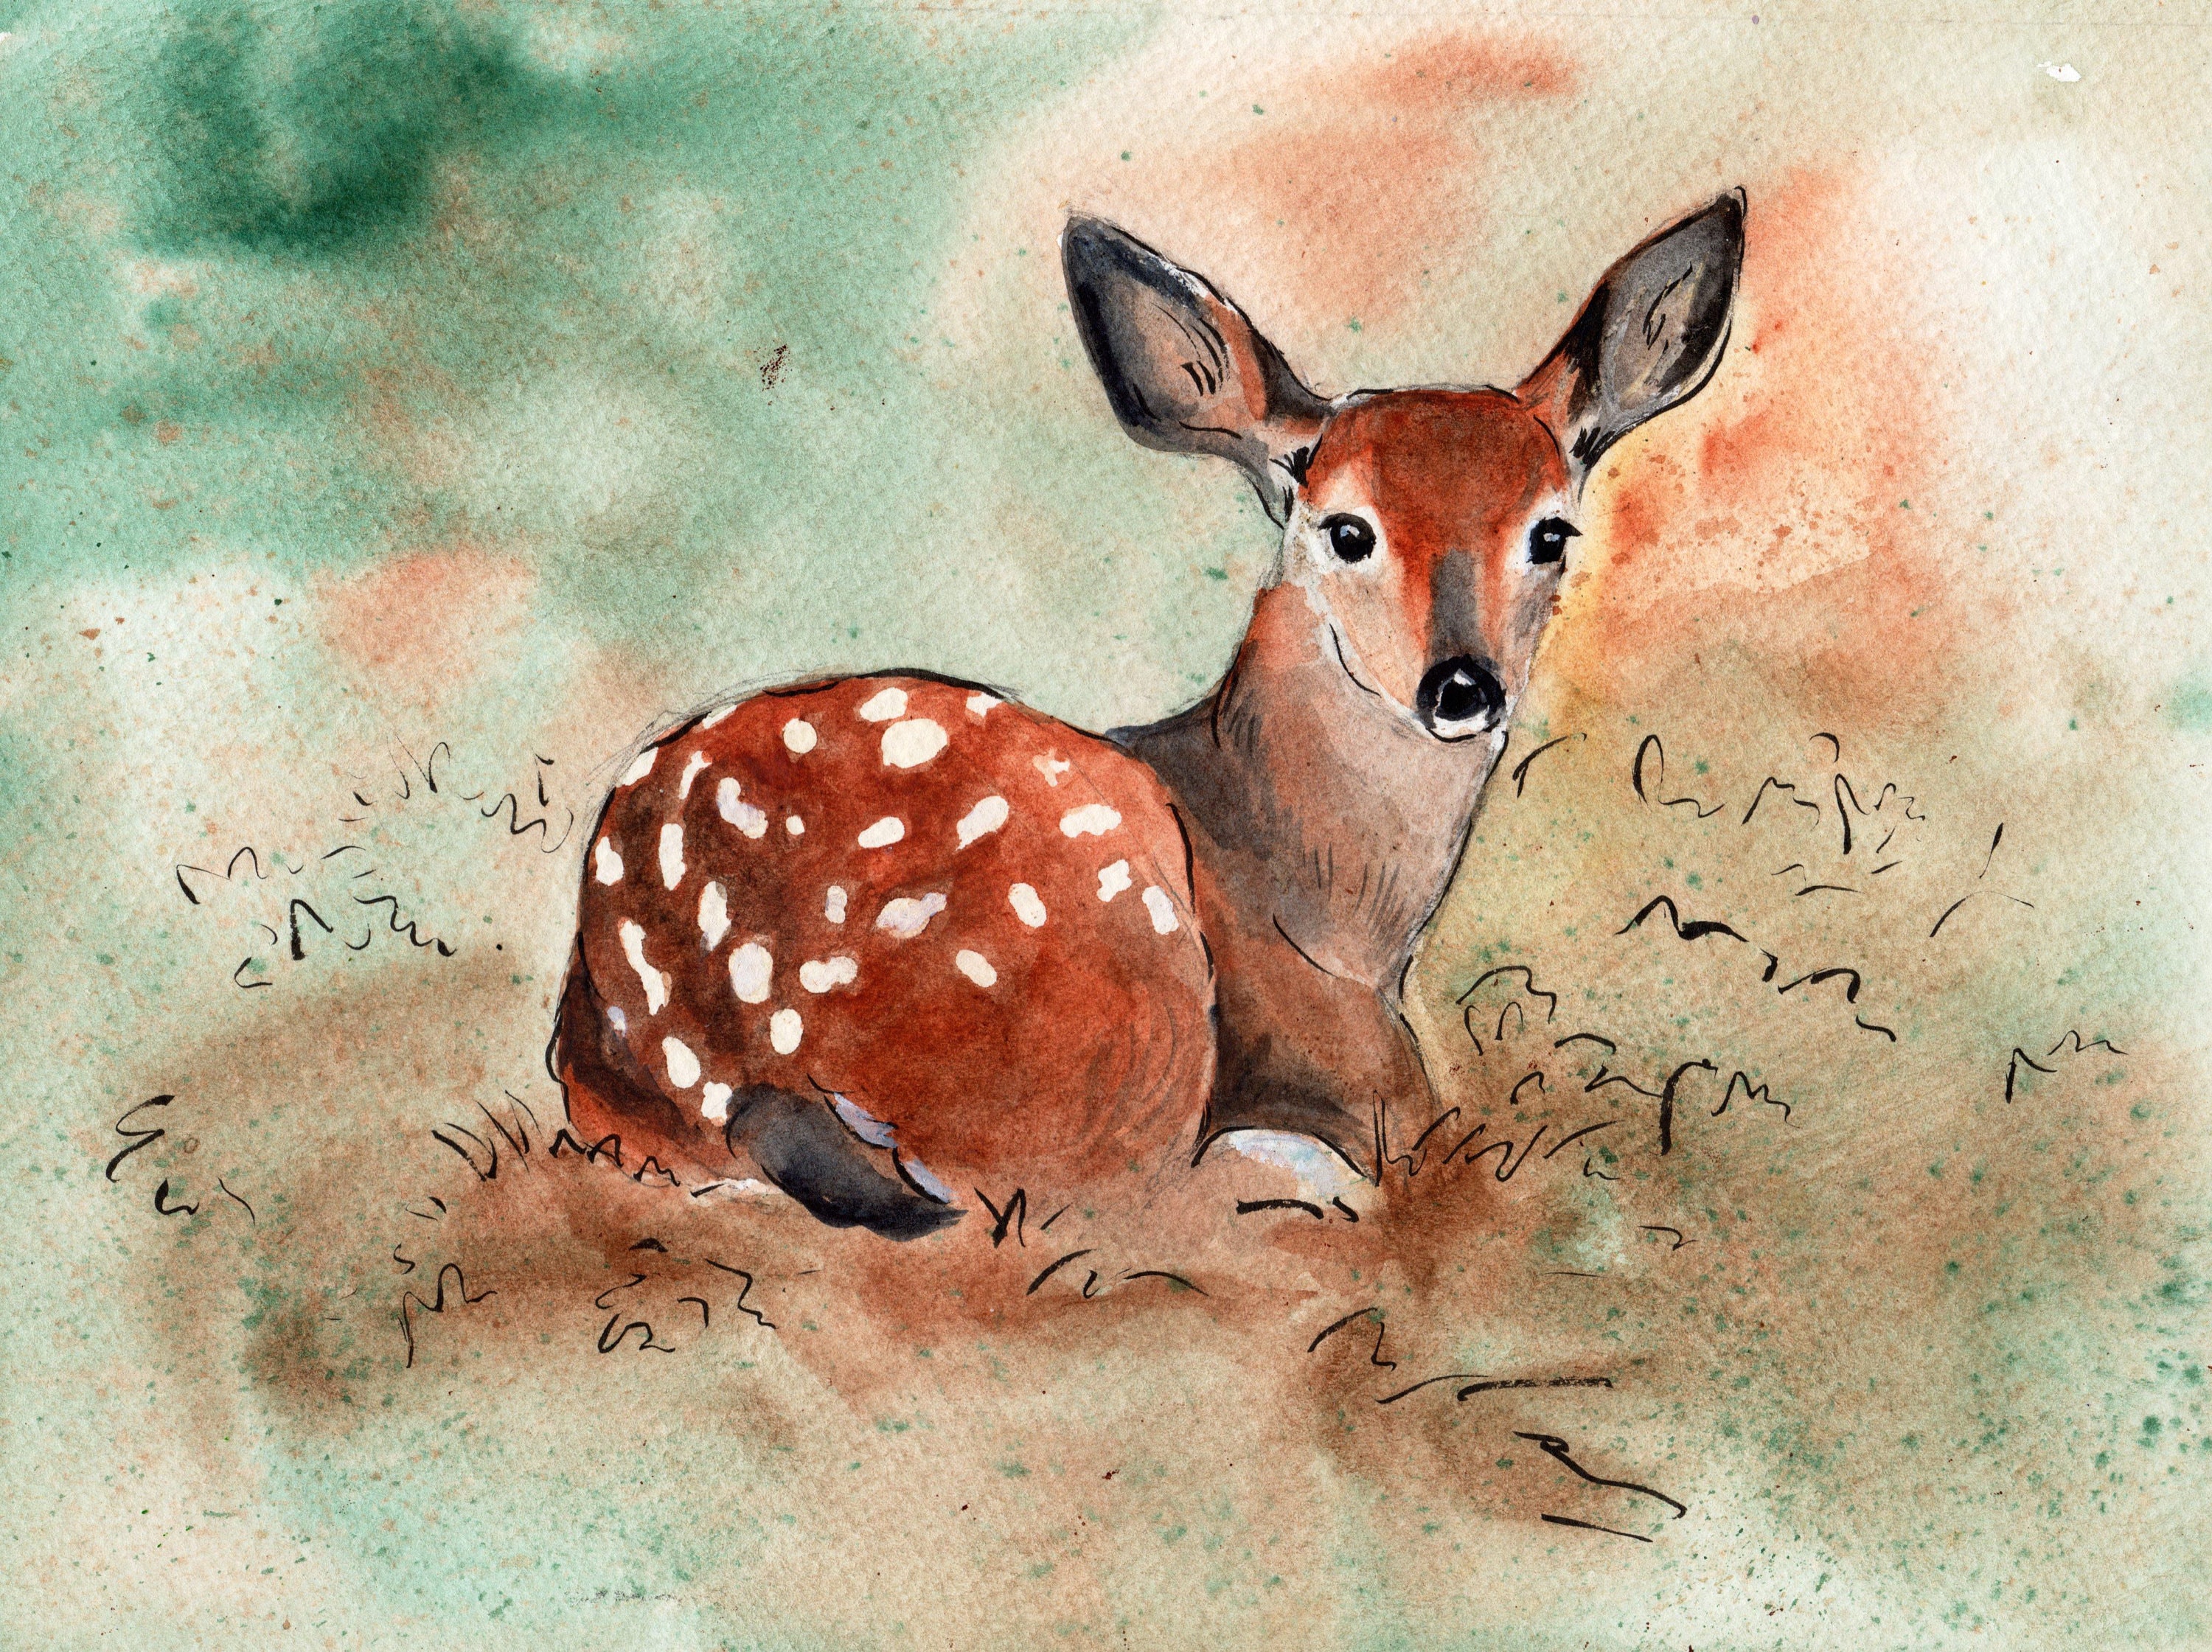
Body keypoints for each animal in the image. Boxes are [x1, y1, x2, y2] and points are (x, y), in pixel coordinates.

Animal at [549, 192, 1744, 1245]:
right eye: (1347, 529)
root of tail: (733, 1061)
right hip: (1123, 995)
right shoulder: (1366, 1080)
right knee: (1118, 1203)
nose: (1462, 685)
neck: (1346, 923)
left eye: (1551, 534)